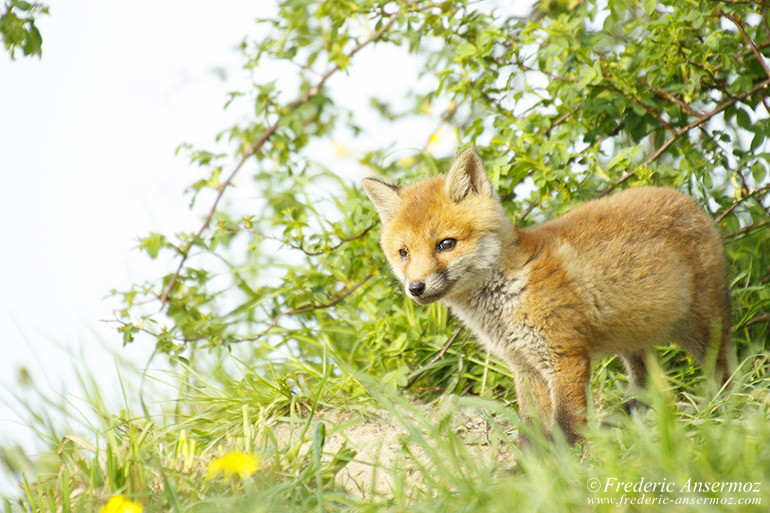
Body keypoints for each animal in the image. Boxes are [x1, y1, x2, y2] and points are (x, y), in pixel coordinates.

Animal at [362, 147, 735, 444]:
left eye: (446, 244)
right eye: (403, 253)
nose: (416, 288)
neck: (508, 295)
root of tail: (685, 198)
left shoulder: (564, 356)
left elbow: (566, 425)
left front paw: (562, 465)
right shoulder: (525, 367)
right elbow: (532, 428)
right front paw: (530, 467)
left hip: (700, 328)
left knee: (725, 370)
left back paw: (725, 407)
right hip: (632, 340)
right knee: (647, 387)